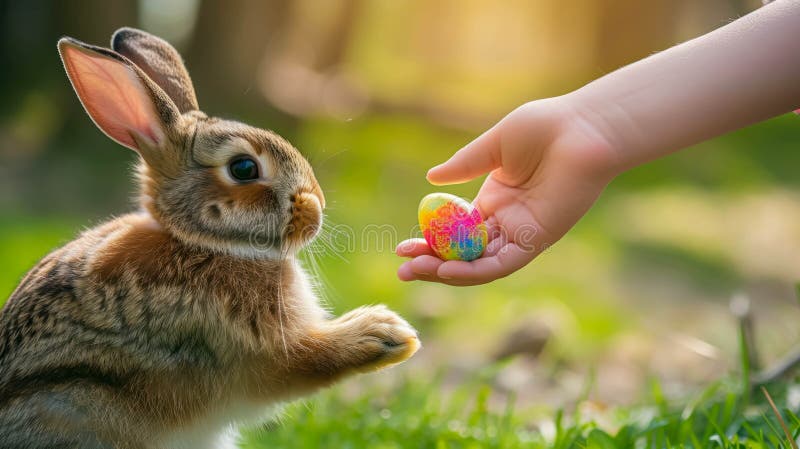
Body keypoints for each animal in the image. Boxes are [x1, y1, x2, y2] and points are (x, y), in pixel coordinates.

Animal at [0, 27, 419, 449]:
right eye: (244, 168)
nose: (316, 211)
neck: (201, 242)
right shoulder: (252, 346)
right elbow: (304, 360)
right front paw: (387, 333)